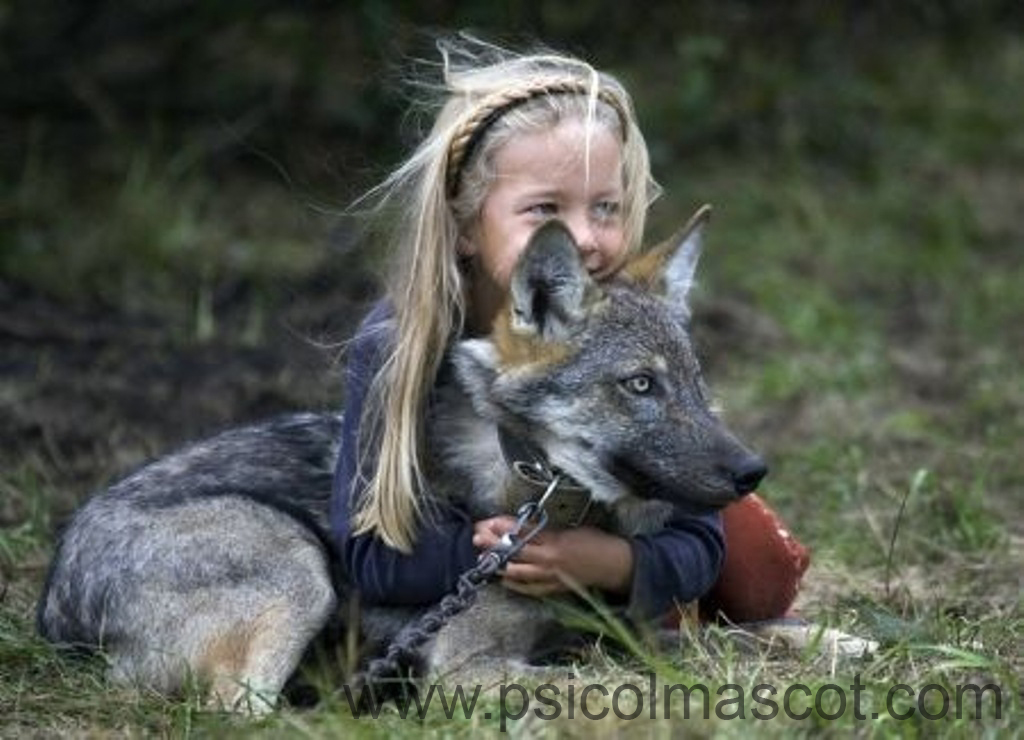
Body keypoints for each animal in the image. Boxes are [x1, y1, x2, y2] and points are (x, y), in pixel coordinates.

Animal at [37, 206, 766, 710]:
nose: (753, 471)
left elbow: (766, 631)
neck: (532, 485)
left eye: (695, 382)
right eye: (640, 385)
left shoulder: (630, 633)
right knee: (235, 710)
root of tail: (53, 598)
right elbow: (612, 683)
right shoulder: (466, 670)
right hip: (301, 571)